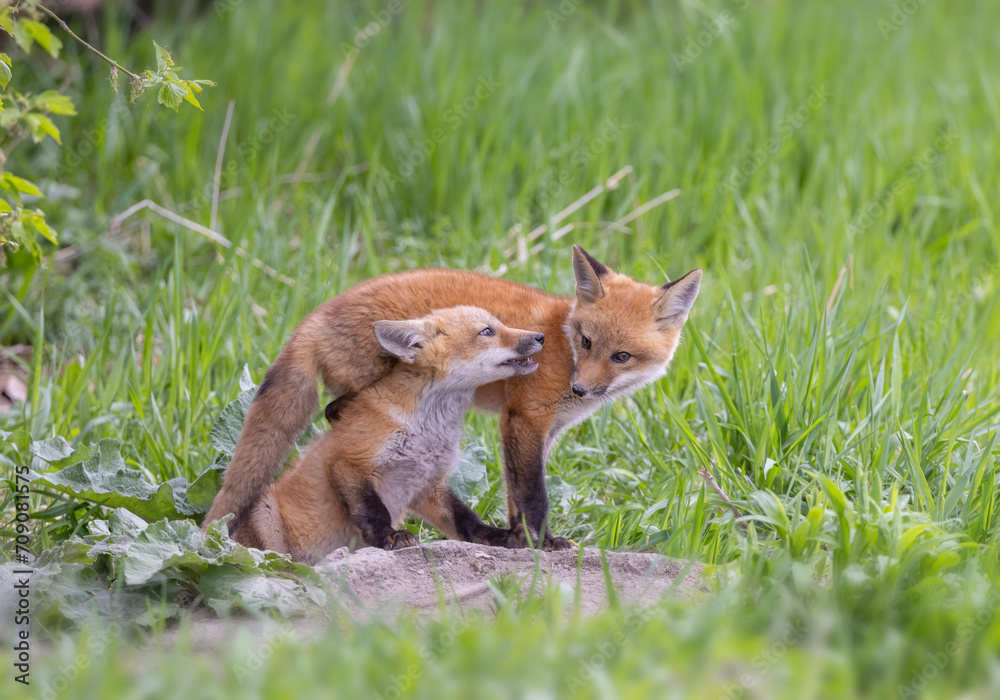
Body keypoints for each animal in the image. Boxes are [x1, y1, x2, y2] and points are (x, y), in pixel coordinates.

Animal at [233, 306, 545, 562]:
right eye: (488, 331)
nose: (541, 336)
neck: (428, 429)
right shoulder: (349, 463)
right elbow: (373, 511)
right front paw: (390, 537)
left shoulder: (428, 484)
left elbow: (465, 520)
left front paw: (500, 537)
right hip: (264, 513)